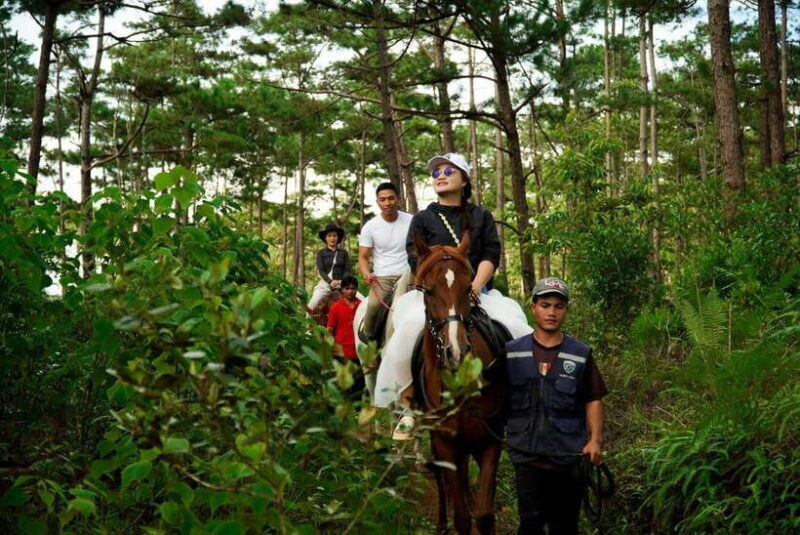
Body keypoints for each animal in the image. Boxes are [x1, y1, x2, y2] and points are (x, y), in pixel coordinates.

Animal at [412, 232, 506, 535]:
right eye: (428, 291)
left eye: (468, 288)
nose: (456, 352)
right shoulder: (445, 445)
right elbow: (462, 518)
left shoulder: (490, 442)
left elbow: (485, 515)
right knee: (442, 482)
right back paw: (442, 523)